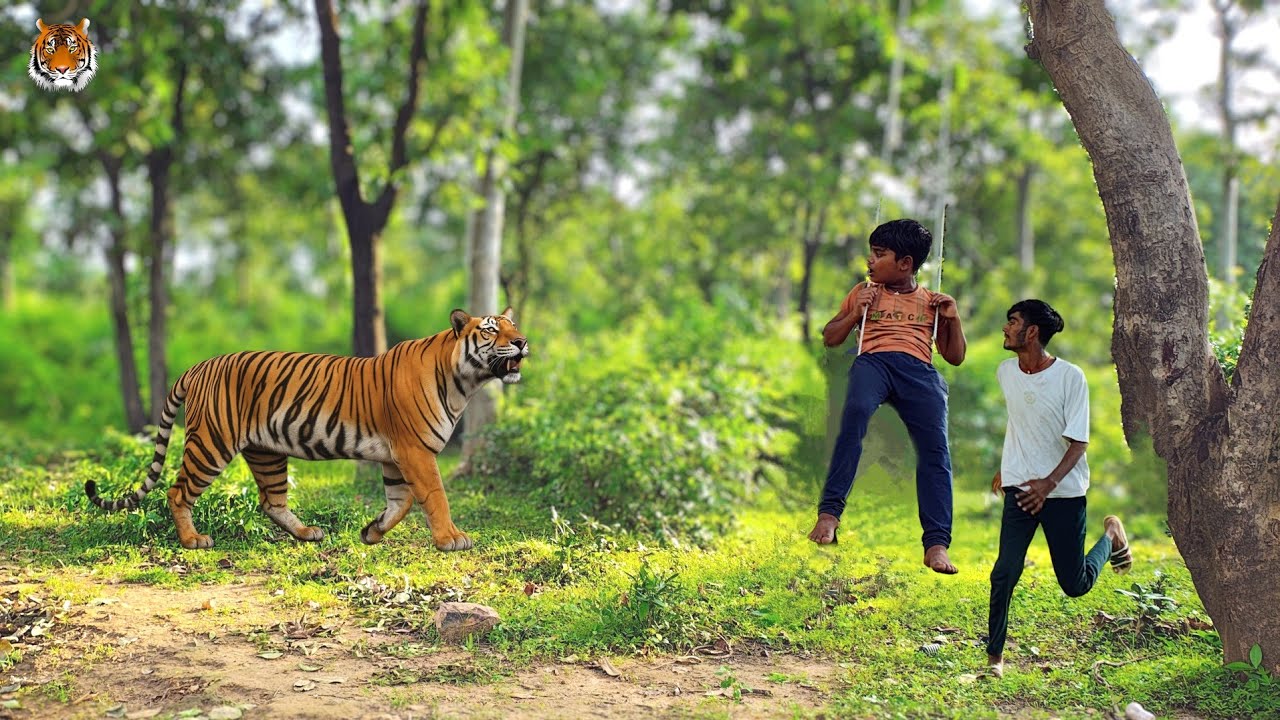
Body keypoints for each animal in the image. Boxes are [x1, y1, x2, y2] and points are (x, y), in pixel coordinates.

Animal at [85, 308, 529, 551]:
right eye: (491, 329)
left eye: (513, 325)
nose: (523, 341)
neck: (464, 384)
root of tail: (197, 366)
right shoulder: (415, 451)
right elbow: (435, 496)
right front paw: (451, 538)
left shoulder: (396, 456)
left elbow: (400, 502)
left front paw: (372, 532)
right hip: (211, 443)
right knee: (178, 491)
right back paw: (193, 541)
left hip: (266, 452)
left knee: (271, 501)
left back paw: (307, 533)